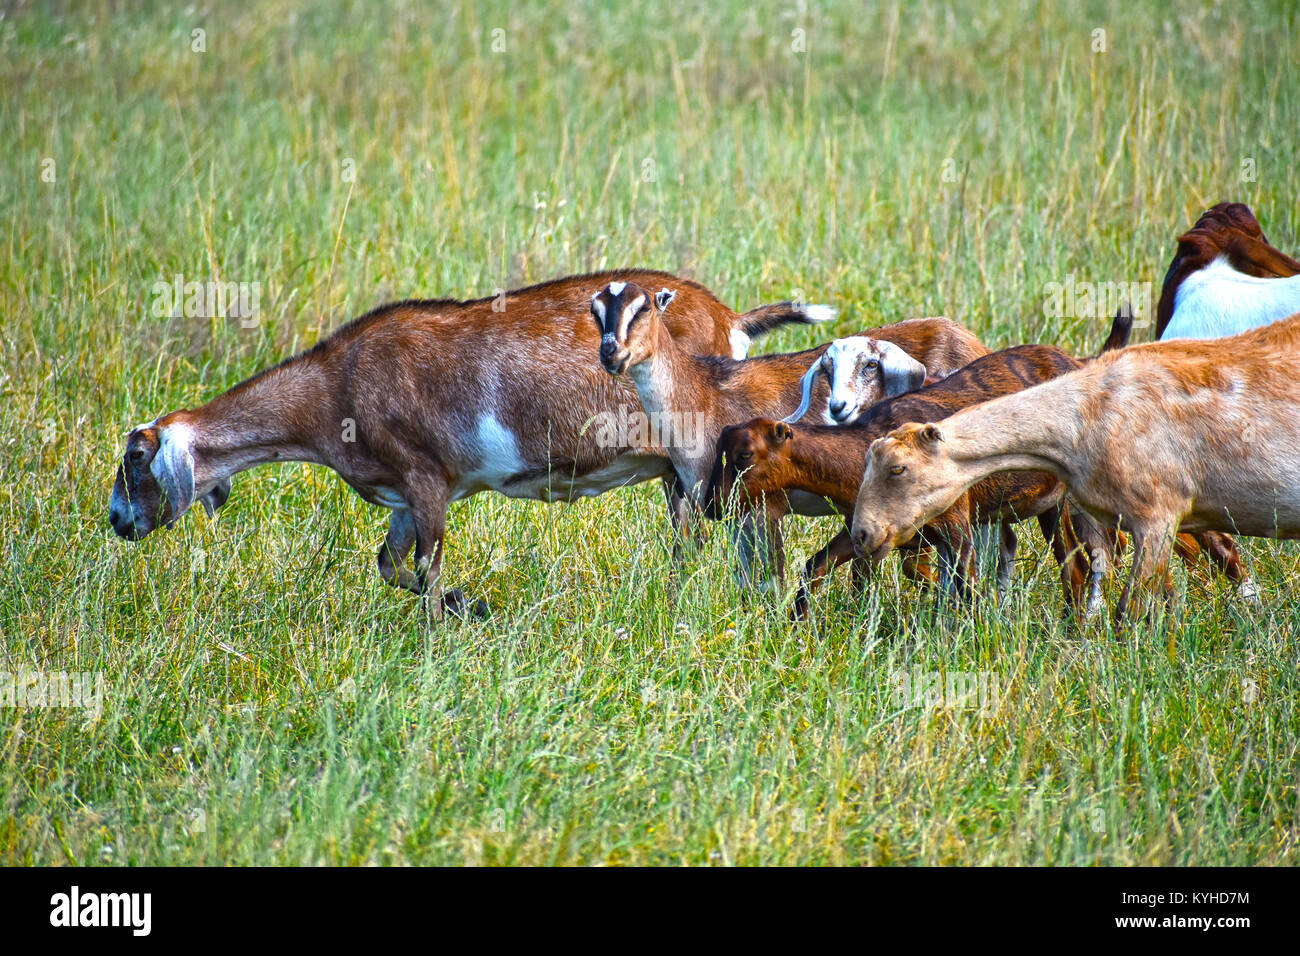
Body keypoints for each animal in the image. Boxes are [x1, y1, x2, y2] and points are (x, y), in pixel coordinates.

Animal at [107, 269, 831, 618]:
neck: (334, 388)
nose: (117, 522)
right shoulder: (402, 498)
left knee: (705, 539)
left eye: (135, 458)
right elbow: (388, 564)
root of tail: (732, 320)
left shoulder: (427, 480)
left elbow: (426, 571)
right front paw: (469, 604)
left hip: (691, 461)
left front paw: (451, 618)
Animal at [589, 281, 989, 581]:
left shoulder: (763, 509)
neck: (702, 394)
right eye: (596, 312)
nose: (611, 354)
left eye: (643, 308)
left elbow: (768, 580)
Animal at [704, 335, 1134, 617]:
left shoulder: (957, 525)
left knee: (1092, 558)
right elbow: (820, 569)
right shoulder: (865, 530)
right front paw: (805, 622)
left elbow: (965, 588)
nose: (711, 506)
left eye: (744, 456)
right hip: (1049, 505)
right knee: (1074, 568)